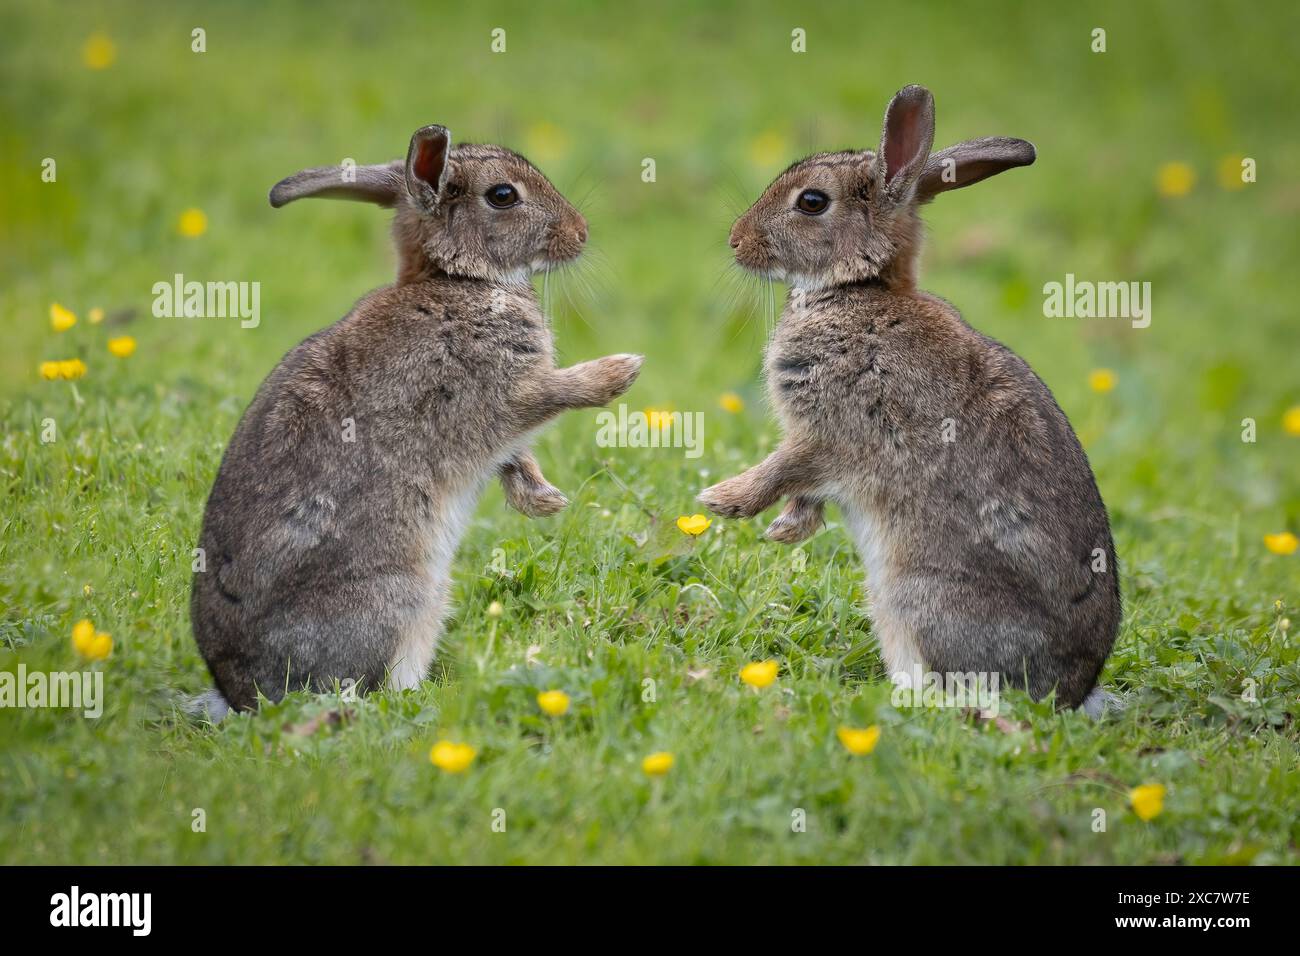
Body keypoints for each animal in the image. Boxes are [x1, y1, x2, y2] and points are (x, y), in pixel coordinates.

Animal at [190, 125, 642, 714]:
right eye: (503, 196)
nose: (580, 233)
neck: (457, 279)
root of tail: (242, 692)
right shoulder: (506, 391)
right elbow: (551, 396)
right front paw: (620, 371)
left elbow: (514, 456)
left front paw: (542, 501)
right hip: (404, 597)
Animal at [699, 85, 1119, 713]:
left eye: (812, 201)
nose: (735, 241)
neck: (859, 290)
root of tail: (1070, 689)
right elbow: (806, 494)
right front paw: (784, 531)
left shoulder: (829, 431)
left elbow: (782, 469)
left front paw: (722, 501)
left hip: (913, 597)